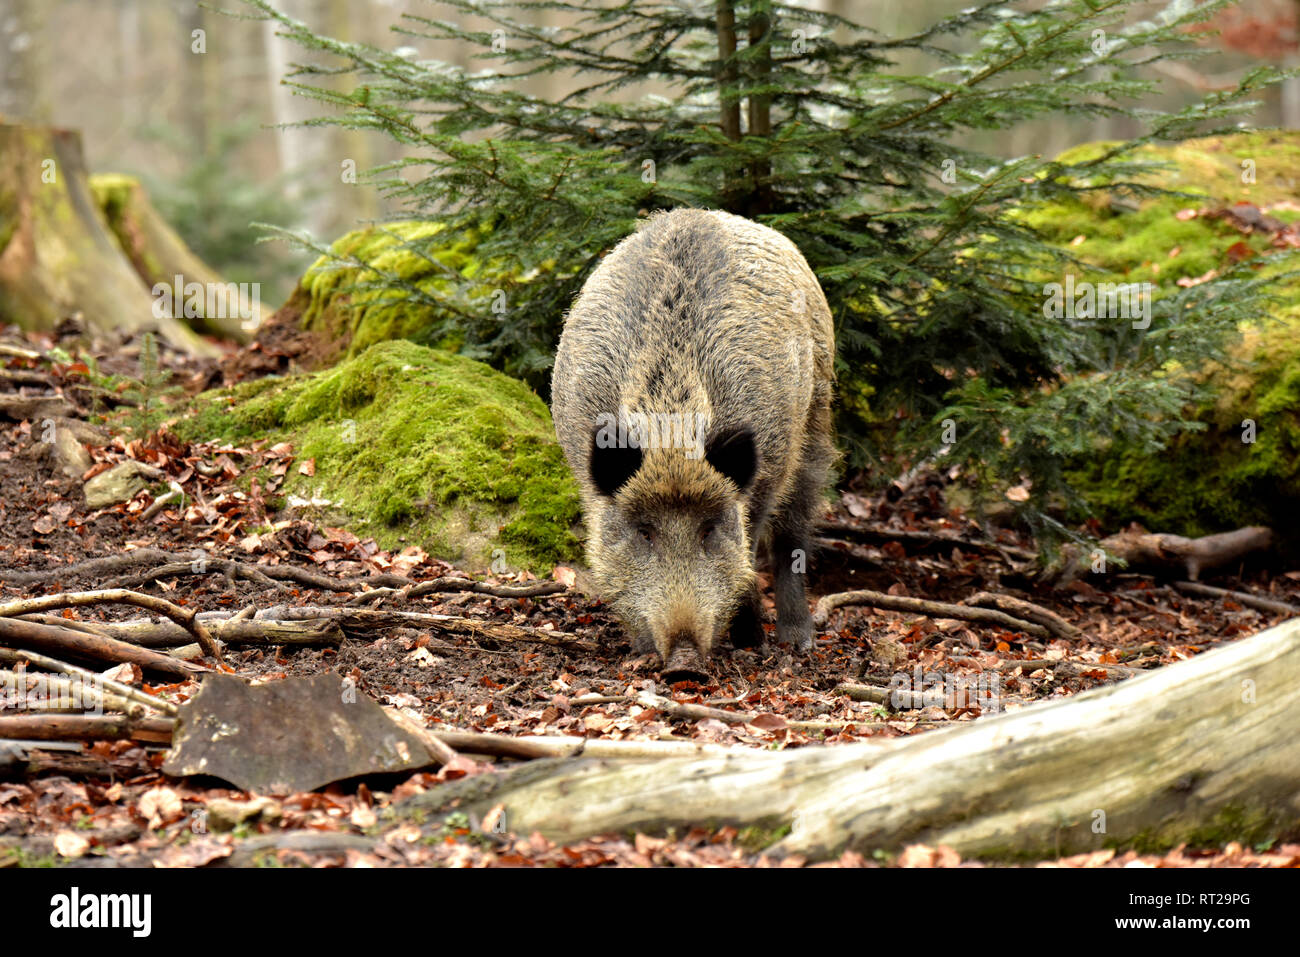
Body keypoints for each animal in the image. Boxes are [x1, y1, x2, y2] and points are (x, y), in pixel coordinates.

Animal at [551, 208, 836, 679]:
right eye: (644, 532)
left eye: (709, 529)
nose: (684, 664)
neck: (671, 436)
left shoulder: (763, 477)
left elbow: (748, 551)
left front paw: (751, 641)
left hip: (816, 412)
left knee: (792, 530)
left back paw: (797, 642)